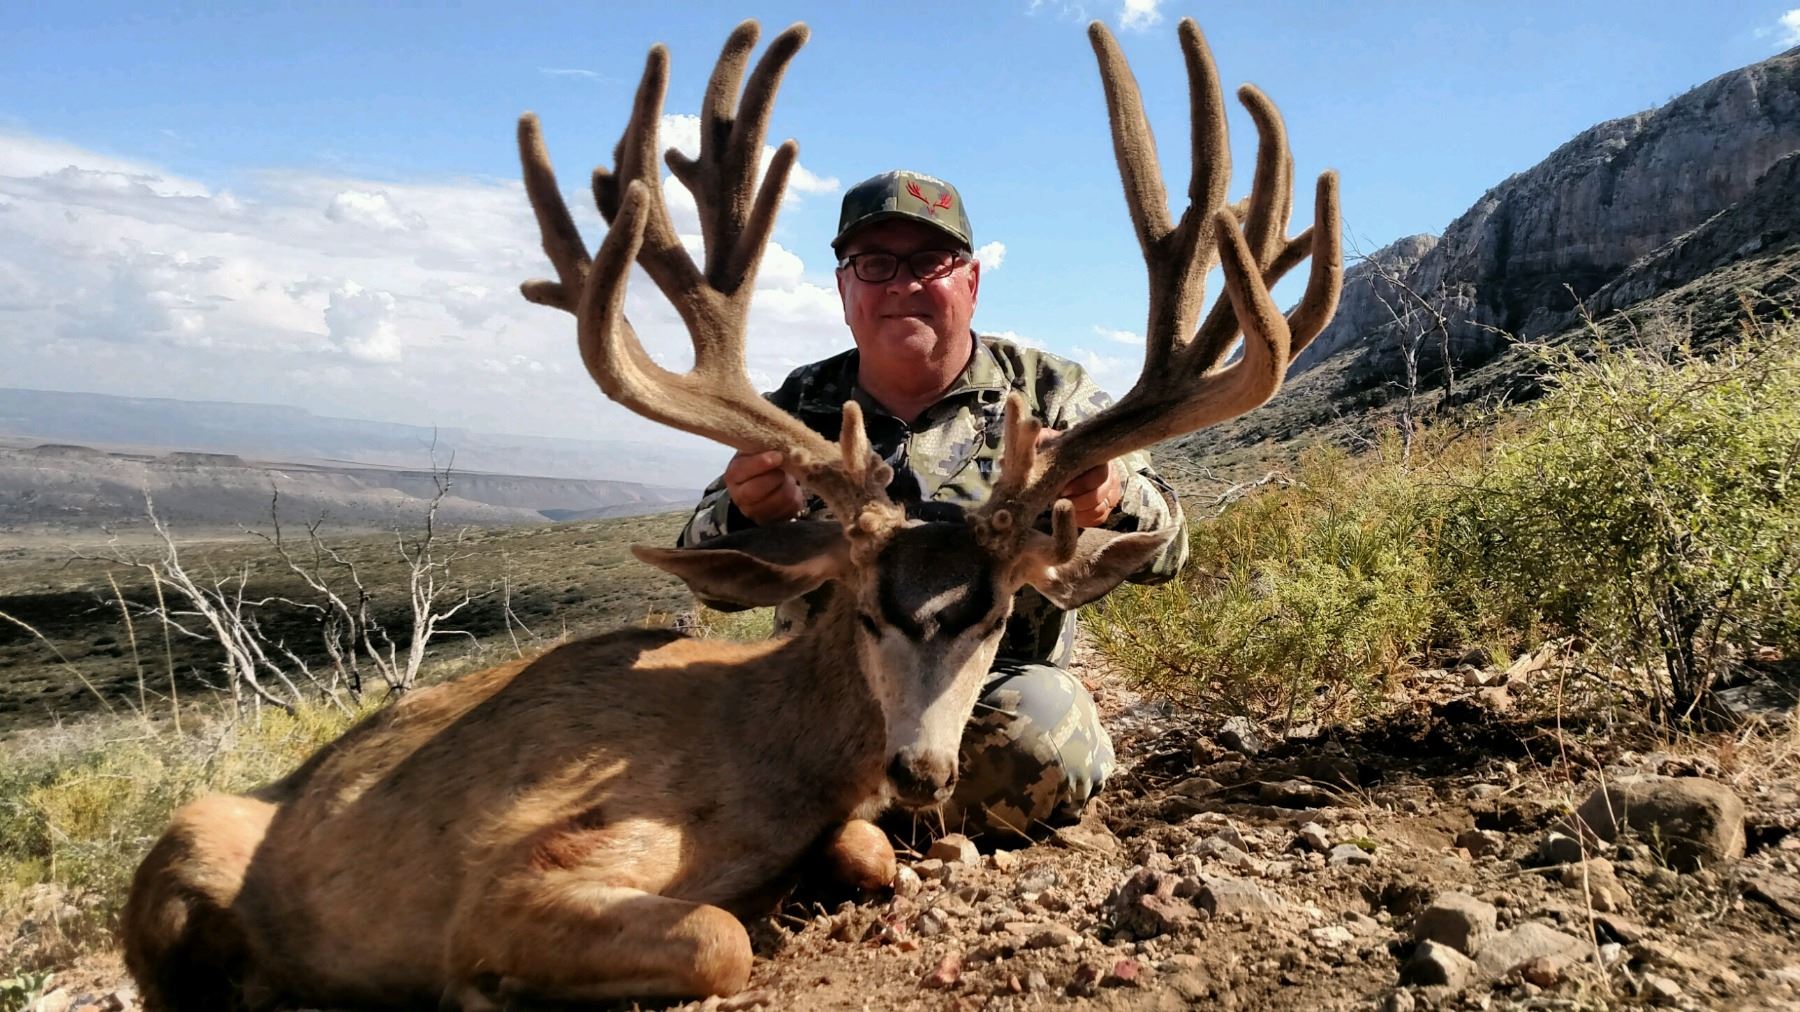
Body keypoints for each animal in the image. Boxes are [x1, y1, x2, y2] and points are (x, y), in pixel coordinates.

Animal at [120, 16, 1340, 1011]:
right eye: (860, 610)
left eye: (995, 615)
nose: (921, 773)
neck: (763, 755)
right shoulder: (512, 874)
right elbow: (719, 936)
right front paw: (490, 986)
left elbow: (868, 856)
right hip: (181, 840)